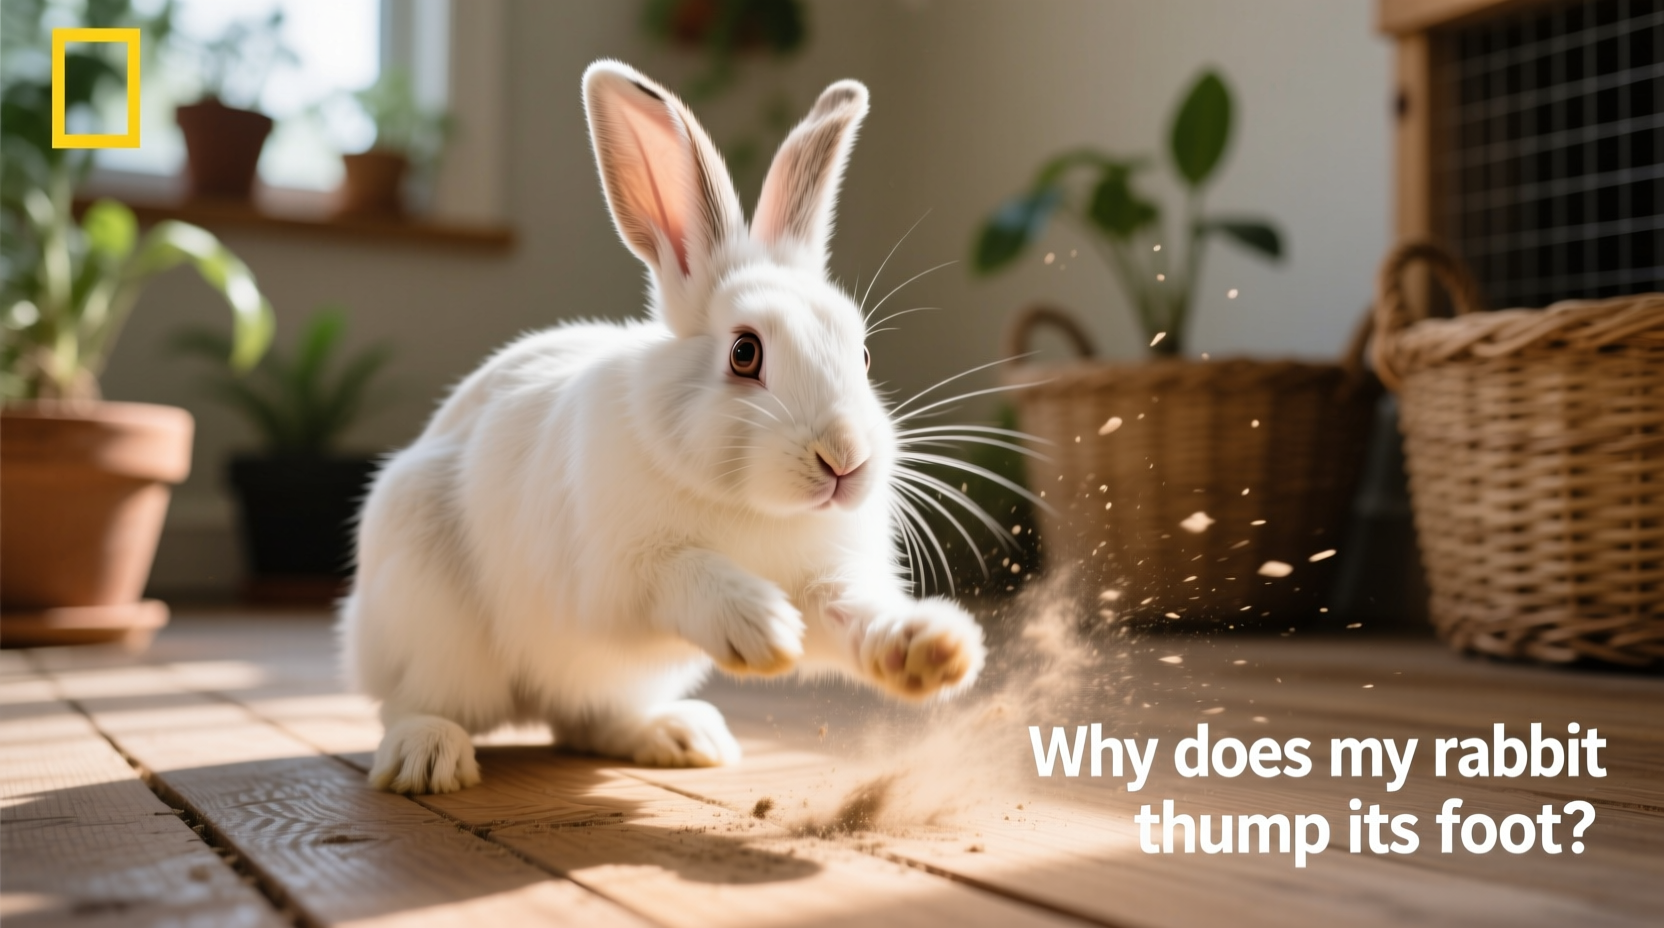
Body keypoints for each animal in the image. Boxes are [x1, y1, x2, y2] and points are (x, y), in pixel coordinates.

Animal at [339, 60, 987, 795]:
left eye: (866, 355)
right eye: (745, 353)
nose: (845, 459)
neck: (750, 508)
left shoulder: (825, 577)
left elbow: (849, 610)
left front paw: (931, 649)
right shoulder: (616, 574)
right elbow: (684, 572)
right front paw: (762, 624)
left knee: (587, 722)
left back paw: (680, 735)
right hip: (426, 617)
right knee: (409, 704)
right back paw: (427, 758)